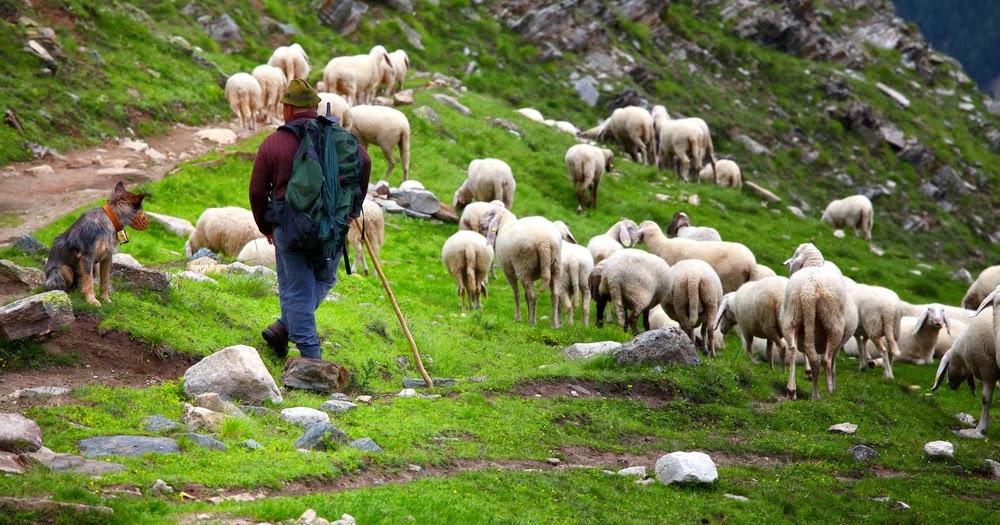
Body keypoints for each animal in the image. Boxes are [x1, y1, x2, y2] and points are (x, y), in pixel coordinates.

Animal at [781, 243, 851, 400]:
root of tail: (809, 287)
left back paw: (793, 391)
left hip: (792, 316)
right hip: (833, 323)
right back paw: (826, 392)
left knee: (795, 349)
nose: (787, 265)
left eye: (795, 254)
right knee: (826, 359)